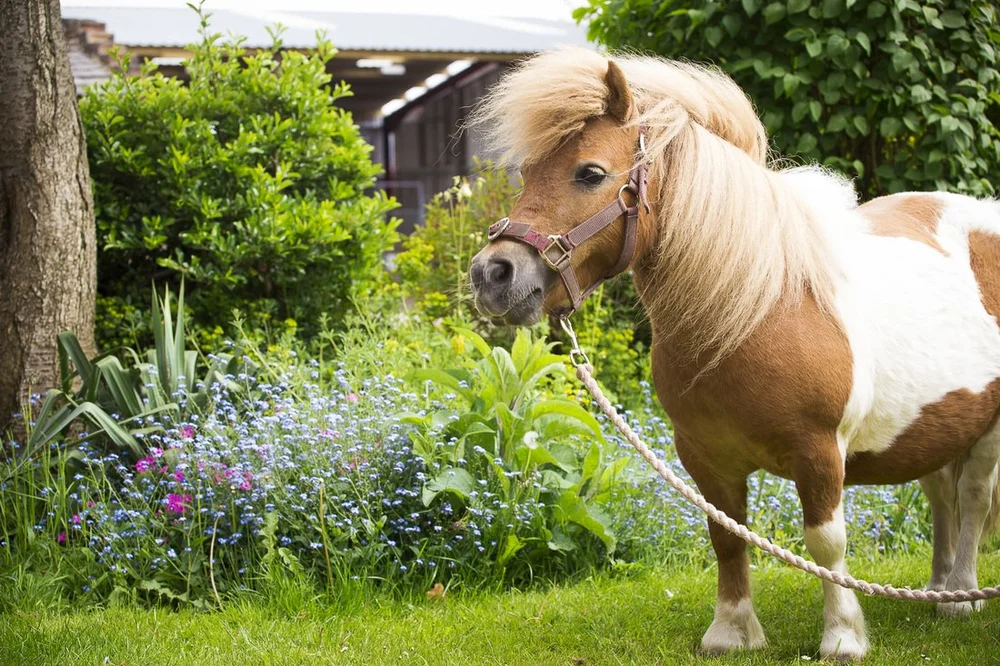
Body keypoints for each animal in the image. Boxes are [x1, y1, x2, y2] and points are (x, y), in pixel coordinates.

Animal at [467, 46, 1000, 661]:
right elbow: (725, 535)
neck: (759, 309)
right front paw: (732, 633)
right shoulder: (704, 455)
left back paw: (960, 597)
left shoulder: (820, 453)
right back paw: (937, 591)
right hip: (934, 423)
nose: (492, 274)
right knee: (940, 495)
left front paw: (843, 636)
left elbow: (826, 542)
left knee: (972, 496)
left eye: (591, 172)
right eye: (528, 172)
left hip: (987, 429)